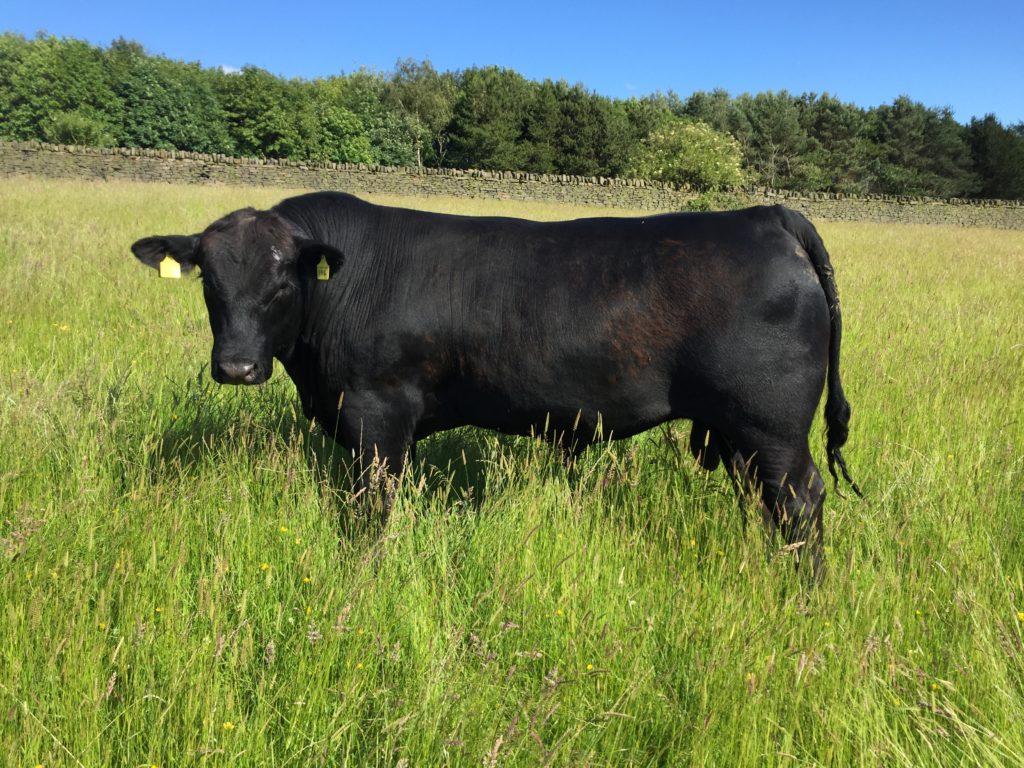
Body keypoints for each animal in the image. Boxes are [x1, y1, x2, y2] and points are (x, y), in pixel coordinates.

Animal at [131, 192, 860, 578]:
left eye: (284, 278)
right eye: (209, 278)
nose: (236, 367)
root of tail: (764, 214)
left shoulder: (377, 414)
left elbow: (372, 507)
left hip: (769, 422)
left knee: (799, 499)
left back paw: (804, 591)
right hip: (737, 429)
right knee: (764, 499)